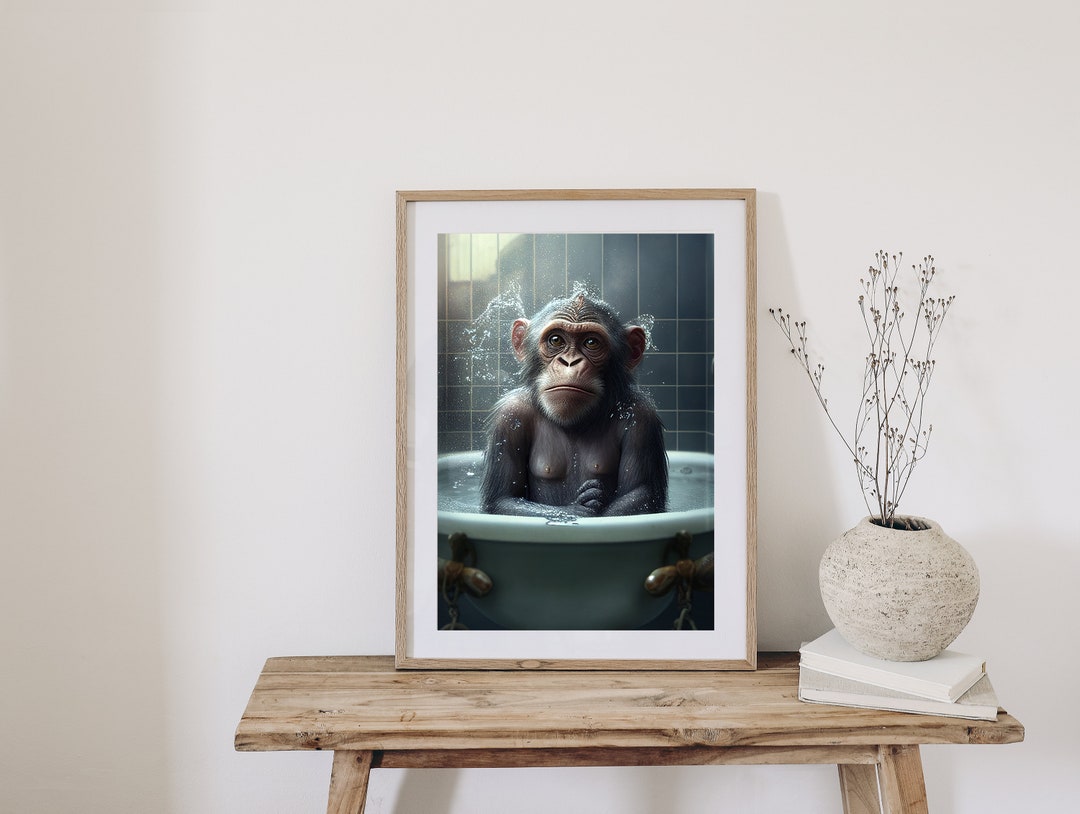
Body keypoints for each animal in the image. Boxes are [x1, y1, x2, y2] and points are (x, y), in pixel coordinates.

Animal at [480, 293, 667, 518]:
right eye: (556, 340)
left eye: (591, 342)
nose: (570, 362)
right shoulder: (509, 417)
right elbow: (503, 499)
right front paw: (578, 508)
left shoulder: (641, 415)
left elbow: (641, 494)